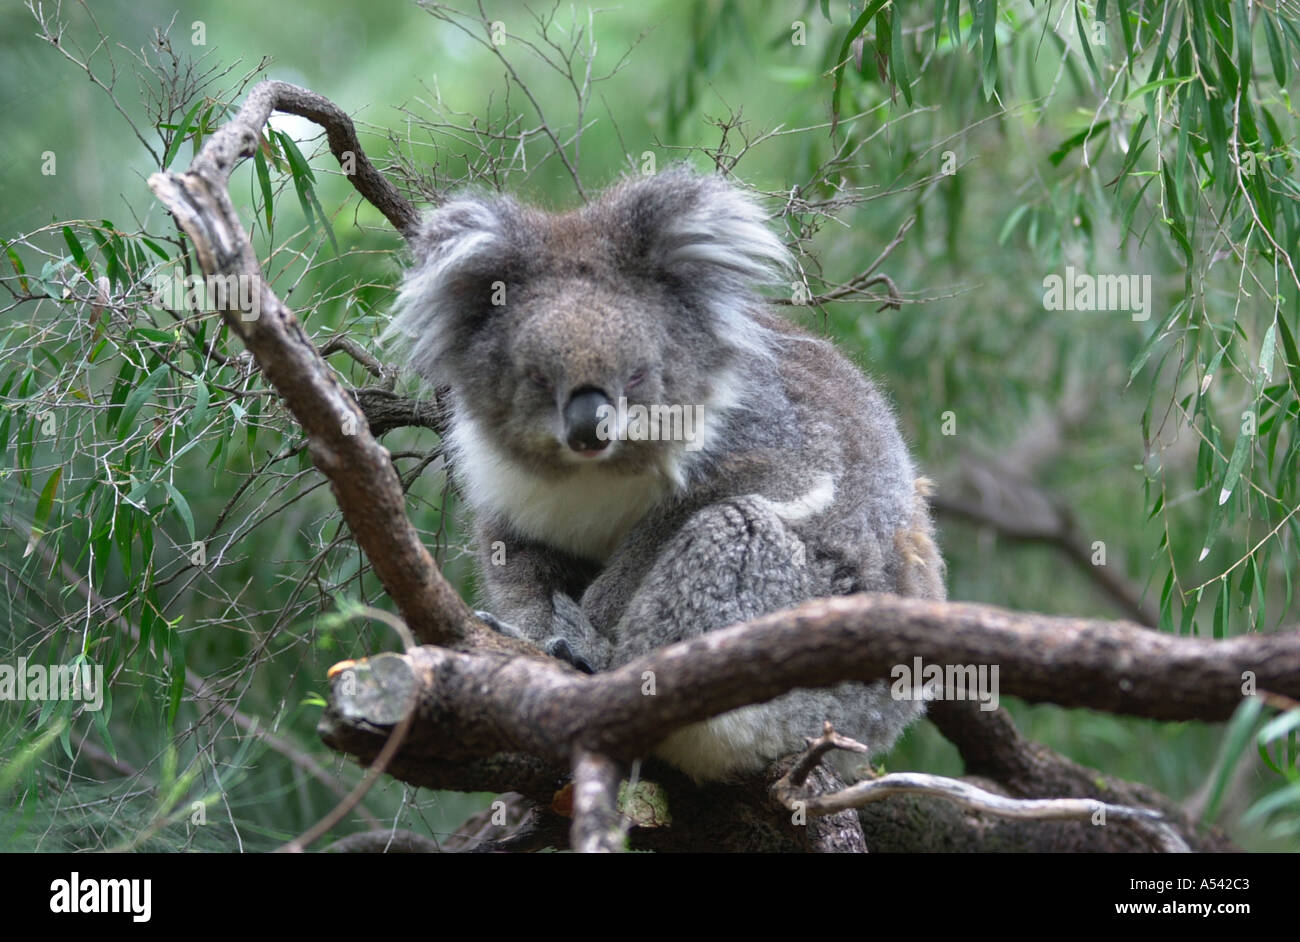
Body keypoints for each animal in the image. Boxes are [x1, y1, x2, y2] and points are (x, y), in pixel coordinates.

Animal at [383, 165, 946, 782]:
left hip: (815, 660)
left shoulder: (772, 448)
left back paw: (598, 660)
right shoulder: (510, 493)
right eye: (537, 378)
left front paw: (587, 620)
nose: (589, 430)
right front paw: (518, 634)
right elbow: (525, 561)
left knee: (732, 535)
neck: (601, 471)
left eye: (637, 375)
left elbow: (682, 528)